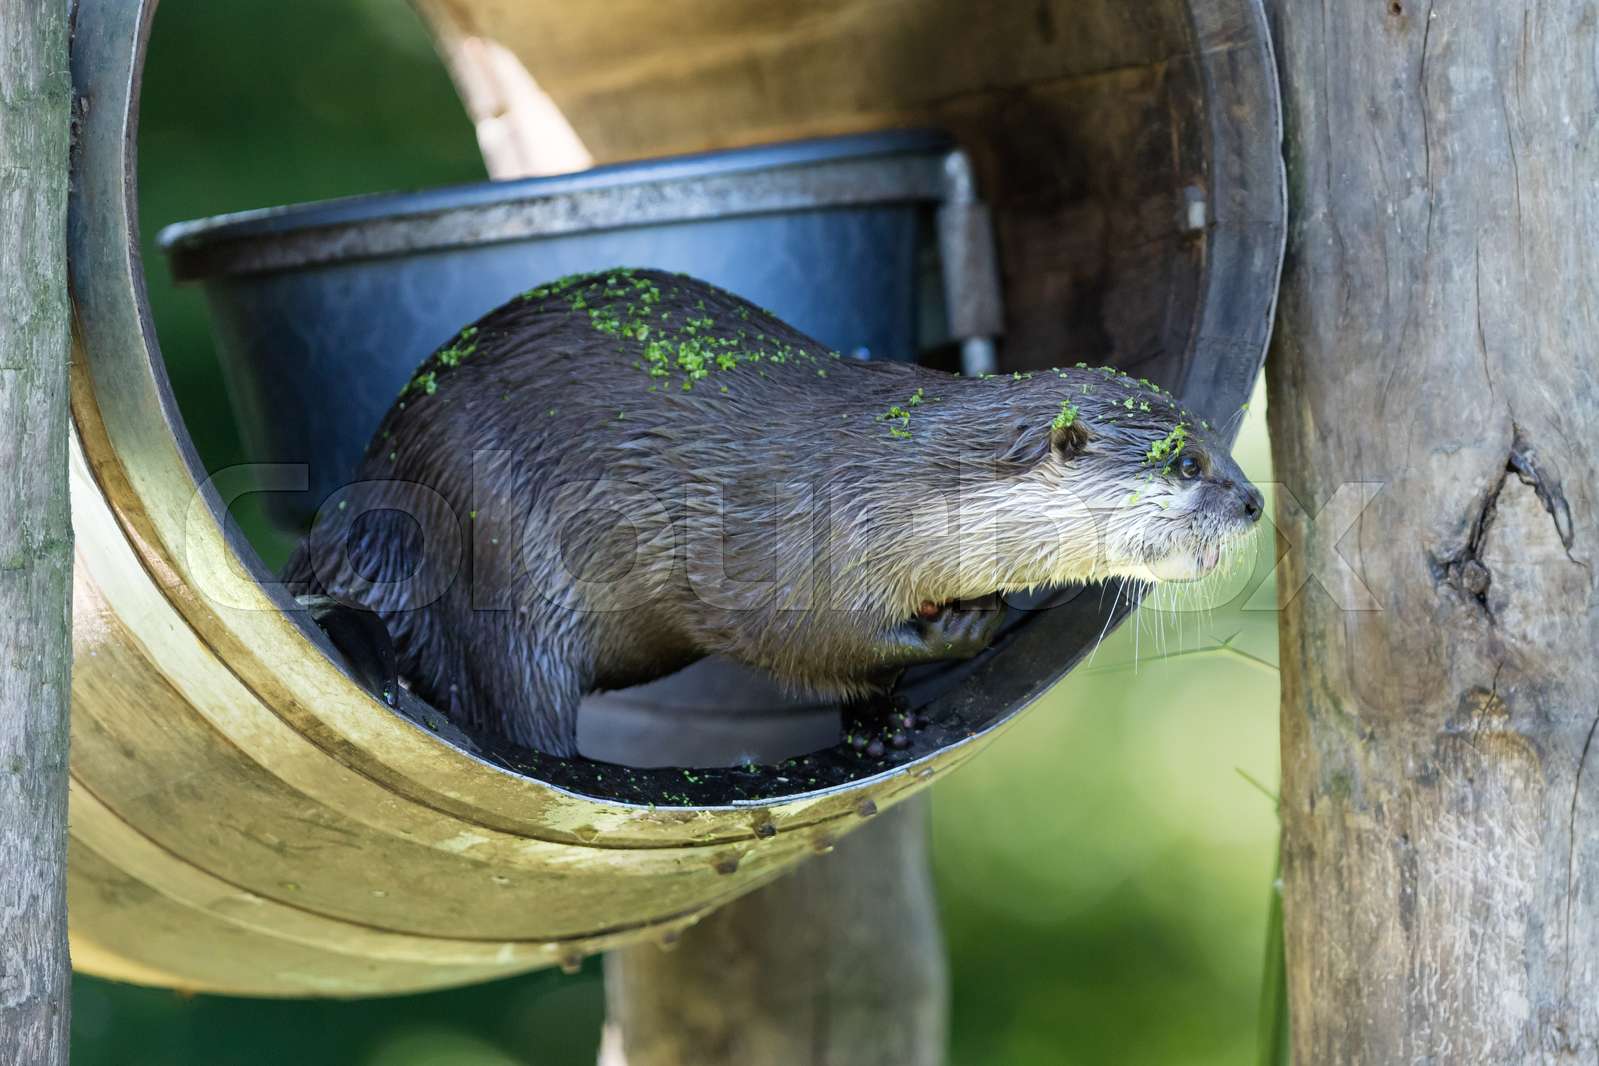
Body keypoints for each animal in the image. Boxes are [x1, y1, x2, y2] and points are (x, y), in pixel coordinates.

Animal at [287, 269, 1262, 756]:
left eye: (1219, 438)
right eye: (1185, 462)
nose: (1253, 500)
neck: (884, 488)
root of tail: (369, 500)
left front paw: (884, 720)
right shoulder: (772, 555)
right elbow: (803, 645)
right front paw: (963, 629)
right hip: (496, 559)